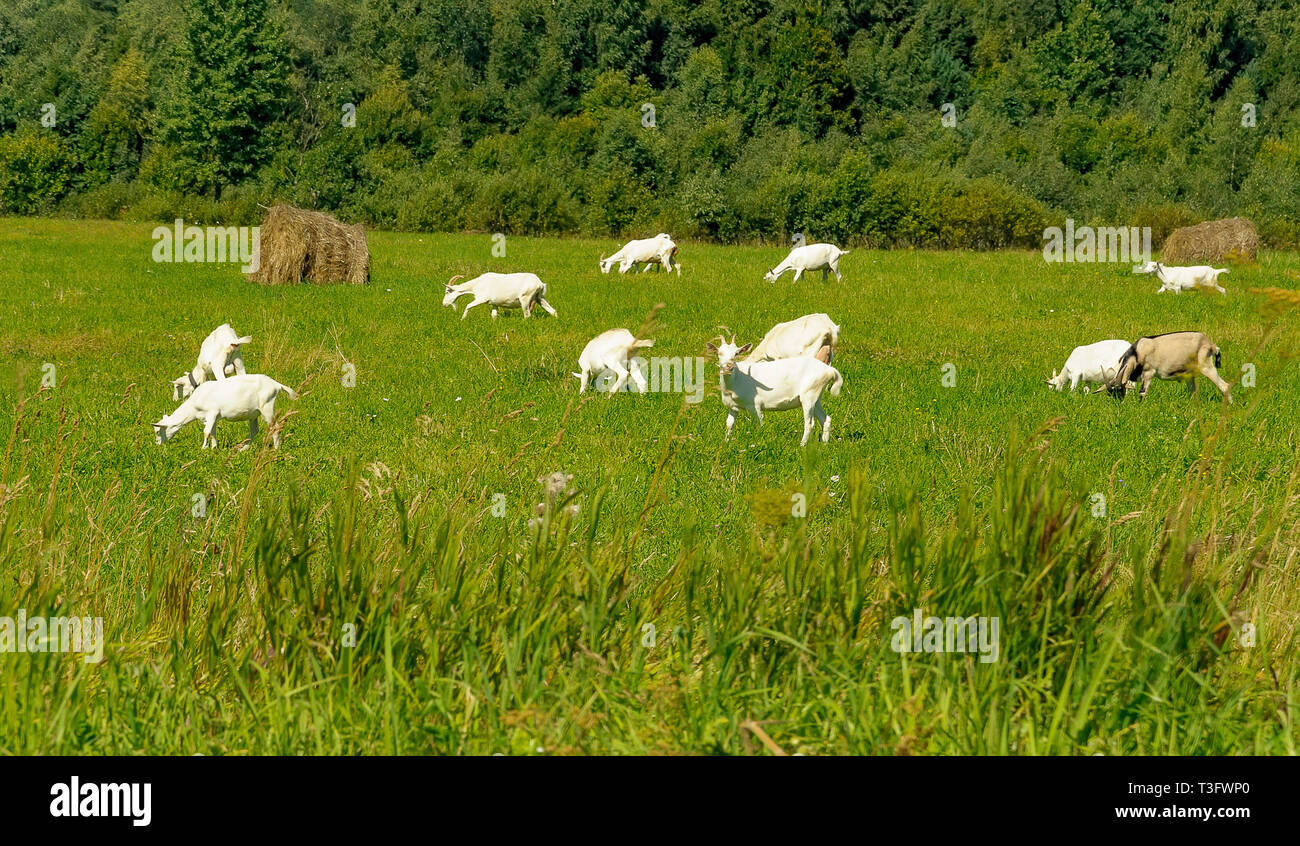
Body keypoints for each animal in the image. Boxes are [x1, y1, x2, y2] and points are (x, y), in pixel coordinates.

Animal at [153, 374, 298, 449]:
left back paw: (276, 449)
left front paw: (203, 448)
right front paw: (214, 448)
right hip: (254, 414)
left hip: (267, 408)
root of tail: (276, 385)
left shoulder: (212, 412)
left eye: (157, 431)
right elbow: (212, 432)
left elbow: (206, 432)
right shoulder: (212, 418)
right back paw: (244, 449)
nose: (157, 444)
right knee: (254, 431)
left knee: (275, 427)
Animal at [706, 337, 843, 445]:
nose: (729, 366)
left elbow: (758, 424)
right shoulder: (732, 406)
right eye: (719, 353)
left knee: (809, 423)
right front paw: (725, 442)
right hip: (816, 397)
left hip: (809, 395)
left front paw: (757, 442)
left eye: (737, 353)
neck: (738, 378)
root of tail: (829, 370)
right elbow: (729, 424)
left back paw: (802, 445)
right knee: (826, 420)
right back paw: (824, 444)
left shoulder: (754, 405)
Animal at [1101, 331, 1231, 402]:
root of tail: (1211, 345)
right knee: (1193, 392)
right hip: (1190, 374)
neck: (1137, 352)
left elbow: (1142, 392)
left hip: (1206, 367)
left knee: (1224, 386)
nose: (1118, 404)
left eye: (1119, 390)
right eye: (1110, 393)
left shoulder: (1149, 373)